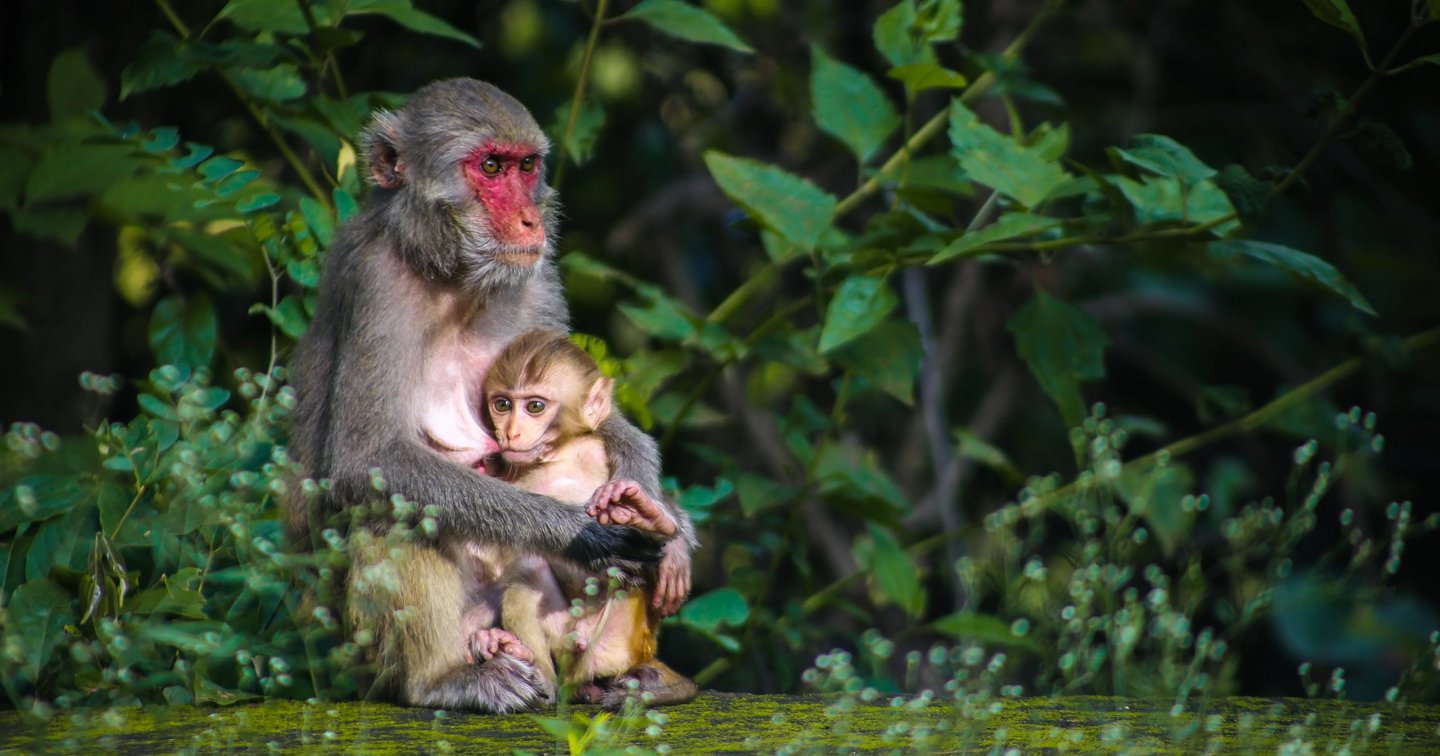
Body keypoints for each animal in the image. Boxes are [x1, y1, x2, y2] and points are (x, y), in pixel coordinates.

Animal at [480, 329, 697, 708]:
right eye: (502, 404)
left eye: (535, 406)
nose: (511, 432)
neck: (558, 457)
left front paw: (652, 522)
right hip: (565, 640)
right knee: (527, 571)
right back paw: (531, 666)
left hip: (619, 643)